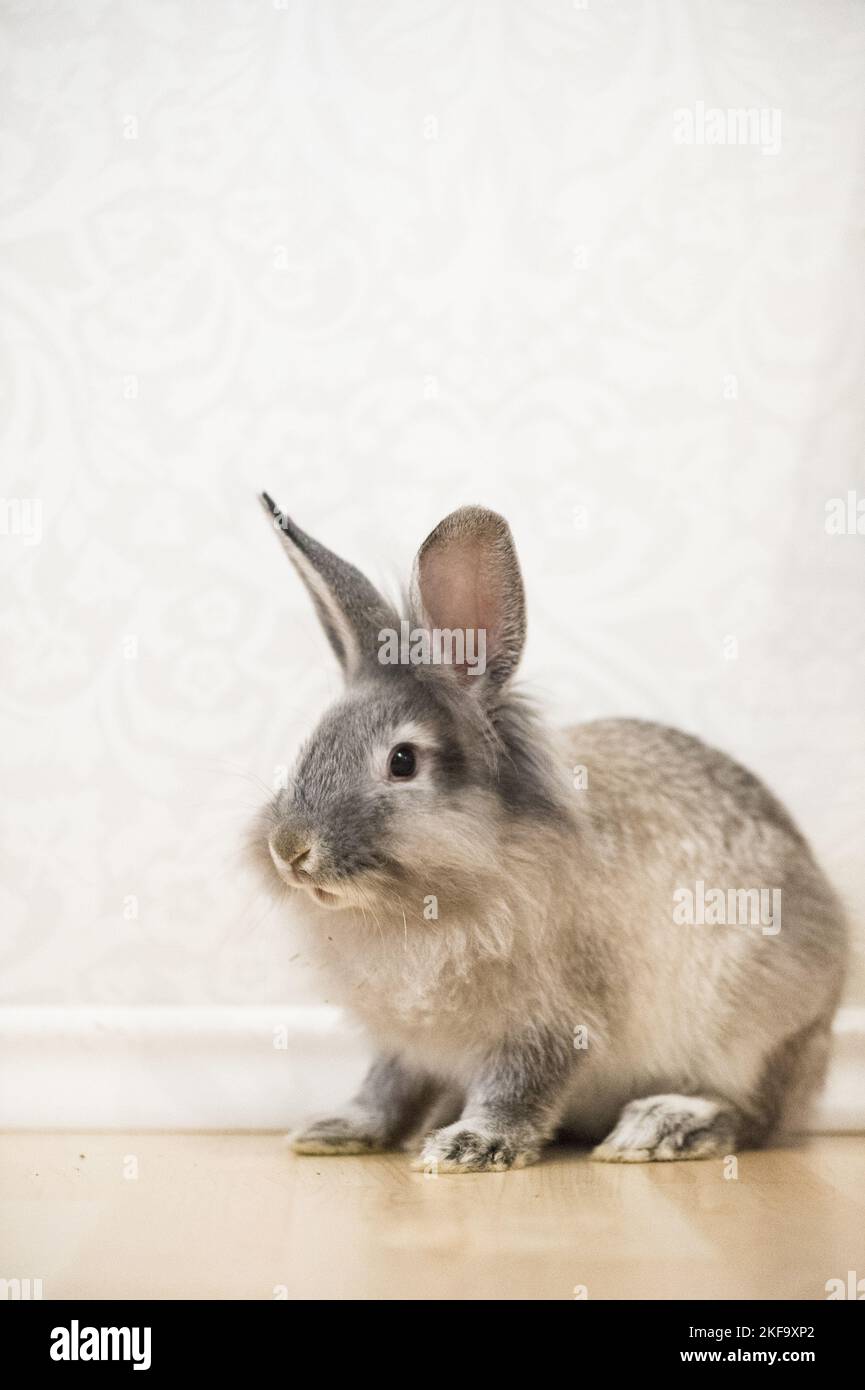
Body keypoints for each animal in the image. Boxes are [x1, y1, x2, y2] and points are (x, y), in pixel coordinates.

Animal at [251, 494, 847, 1172]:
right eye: (310, 743)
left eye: (402, 762)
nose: (289, 850)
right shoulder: (405, 1041)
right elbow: (386, 1088)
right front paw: (336, 1129)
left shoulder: (548, 1025)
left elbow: (516, 1088)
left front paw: (469, 1146)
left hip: (749, 1034)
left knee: (753, 1116)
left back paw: (659, 1127)